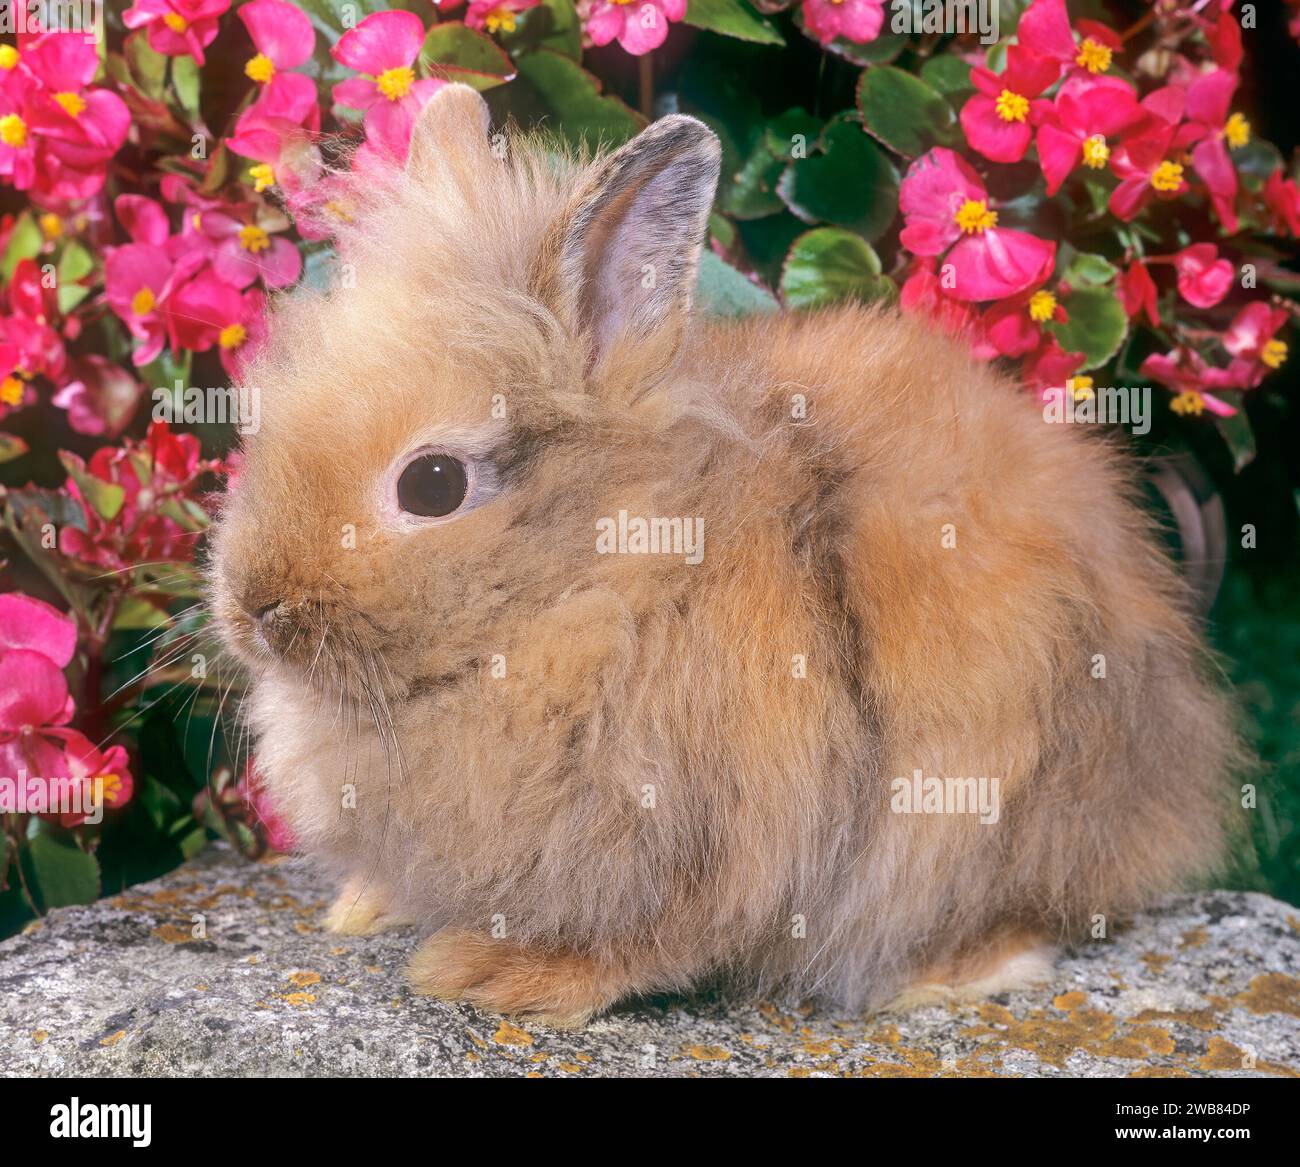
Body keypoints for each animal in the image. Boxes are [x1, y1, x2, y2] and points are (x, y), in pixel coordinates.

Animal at [209, 83, 1243, 1028]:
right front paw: (364, 910)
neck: (599, 582)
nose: (255, 608)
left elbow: (649, 941)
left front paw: (493, 973)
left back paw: (950, 975)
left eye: (431, 485)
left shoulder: (723, 831)